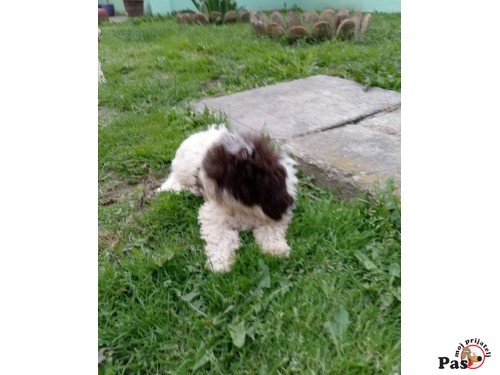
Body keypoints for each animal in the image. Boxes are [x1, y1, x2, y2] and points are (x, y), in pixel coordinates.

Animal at [156, 126, 296, 274]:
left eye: (223, 174)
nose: (199, 177)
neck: (242, 204)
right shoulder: (213, 215)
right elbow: (220, 238)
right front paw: (220, 264)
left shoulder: (274, 210)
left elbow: (272, 230)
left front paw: (277, 250)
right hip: (184, 171)